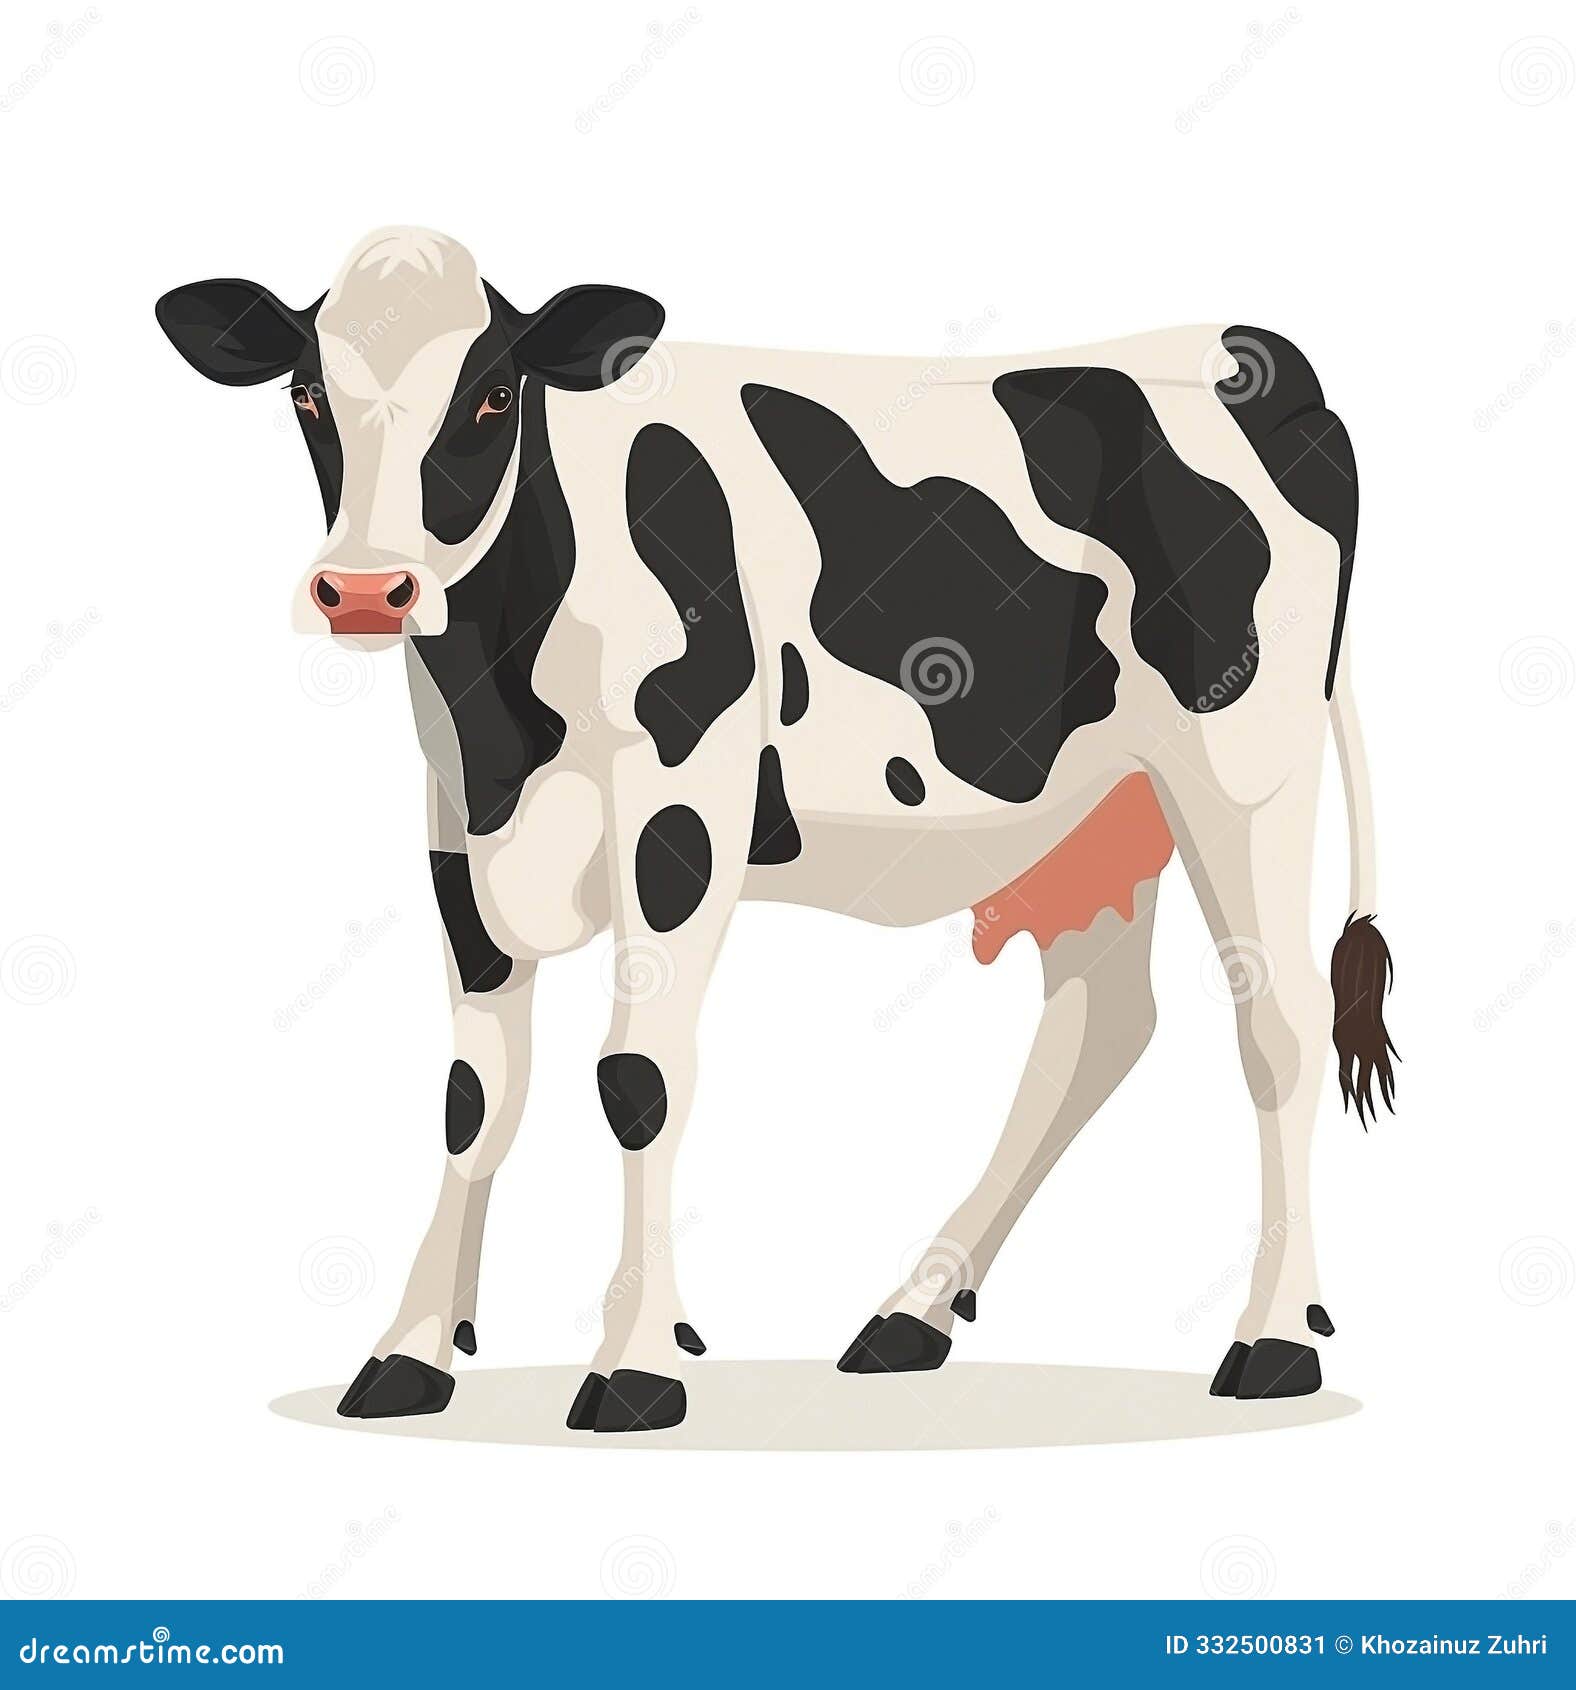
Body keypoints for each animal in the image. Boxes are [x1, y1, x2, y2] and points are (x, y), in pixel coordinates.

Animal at [156, 227, 1396, 1433]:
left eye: (495, 393)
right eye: (307, 391)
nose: (368, 591)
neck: (504, 708)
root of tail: (1252, 354)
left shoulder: (680, 803)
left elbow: (638, 1078)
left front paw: (636, 1362)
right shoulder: (457, 824)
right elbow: (474, 1099)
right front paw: (412, 1350)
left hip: (1245, 771)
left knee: (1278, 1024)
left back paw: (1272, 1338)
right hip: (1095, 807)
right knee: (1099, 1025)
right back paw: (912, 1312)